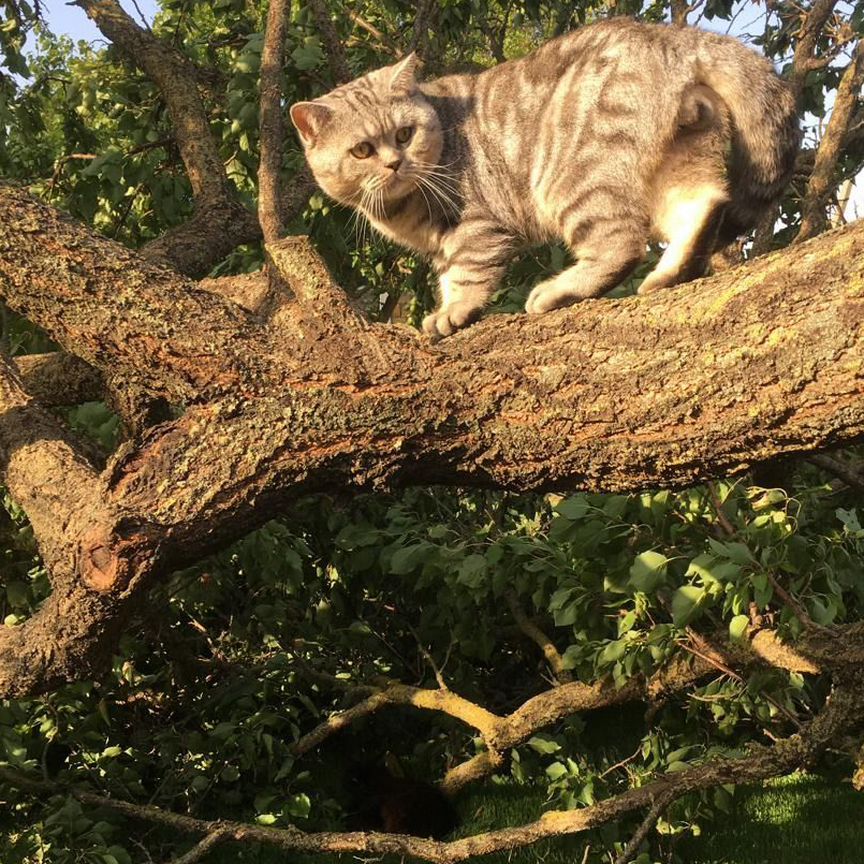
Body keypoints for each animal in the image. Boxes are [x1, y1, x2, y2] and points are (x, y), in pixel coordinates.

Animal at [294, 19, 800, 338]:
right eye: (362, 150)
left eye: (405, 134)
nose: (394, 164)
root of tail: (670, 35)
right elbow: (449, 273)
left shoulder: (476, 226)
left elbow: (466, 275)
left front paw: (453, 312)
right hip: (681, 159)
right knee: (703, 207)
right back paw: (666, 276)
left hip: (574, 181)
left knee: (621, 245)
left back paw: (557, 291)